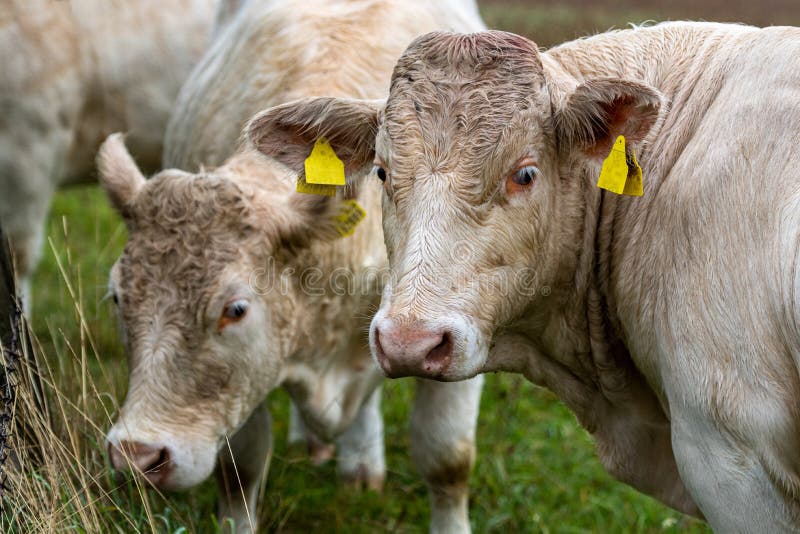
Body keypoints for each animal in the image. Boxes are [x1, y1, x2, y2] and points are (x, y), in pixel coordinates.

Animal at [101, 0, 486, 532]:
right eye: (118, 298)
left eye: (235, 309)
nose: (137, 457)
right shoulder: (252, 378)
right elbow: (240, 470)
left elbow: (446, 457)